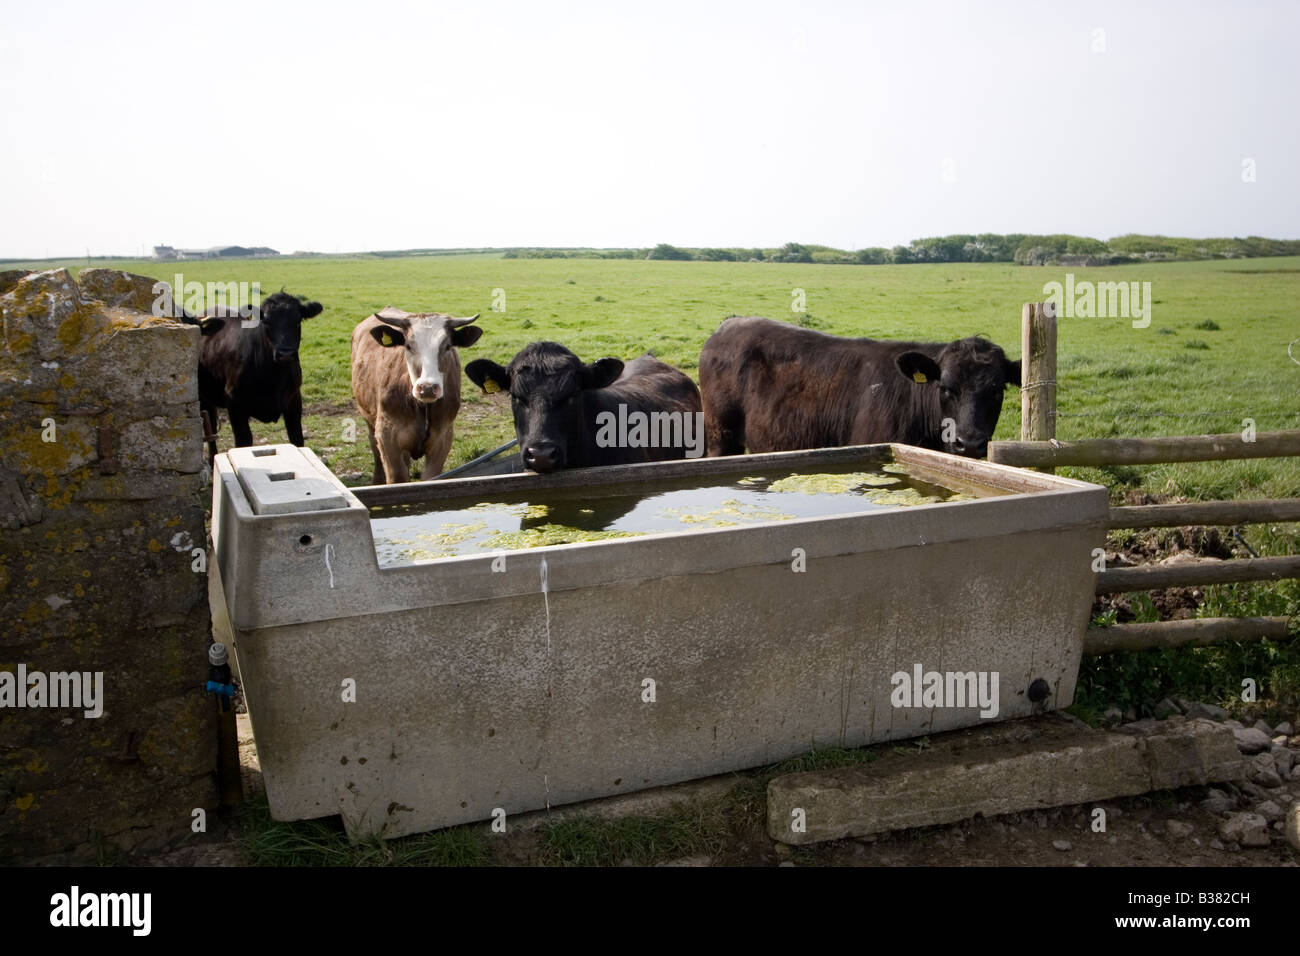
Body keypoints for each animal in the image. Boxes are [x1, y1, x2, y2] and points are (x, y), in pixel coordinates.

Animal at [197, 291, 323, 461]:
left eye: (298, 321)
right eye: (267, 322)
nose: (286, 353)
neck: (274, 377)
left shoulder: (294, 399)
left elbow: (297, 437)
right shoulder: (234, 402)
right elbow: (243, 441)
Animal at [350, 307, 483, 484]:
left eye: (447, 346)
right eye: (408, 345)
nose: (427, 388)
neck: (422, 406)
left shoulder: (443, 438)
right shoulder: (387, 436)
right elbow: (397, 477)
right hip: (367, 415)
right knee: (374, 446)